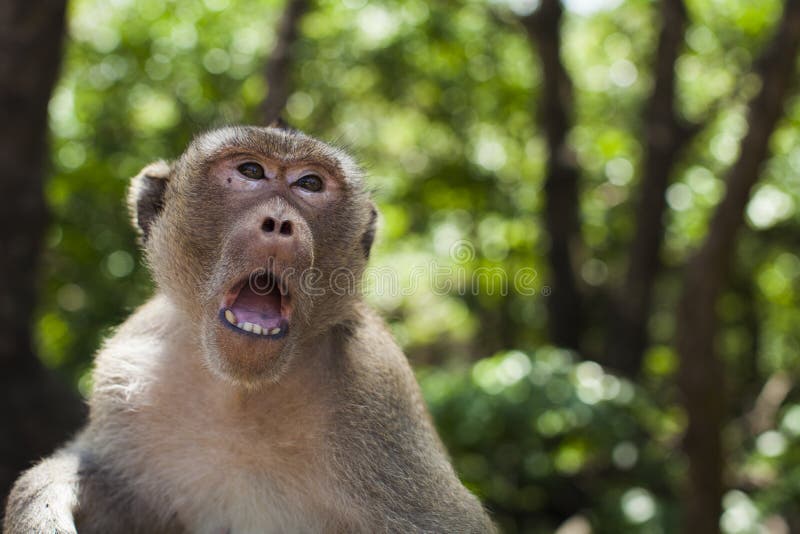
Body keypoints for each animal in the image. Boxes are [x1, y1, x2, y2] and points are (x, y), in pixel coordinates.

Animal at [4, 125, 495, 533]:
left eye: (310, 184)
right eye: (251, 171)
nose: (279, 222)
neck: (241, 391)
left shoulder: (378, 395)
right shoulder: (126, 371)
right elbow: (106, 480)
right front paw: (39, 501)